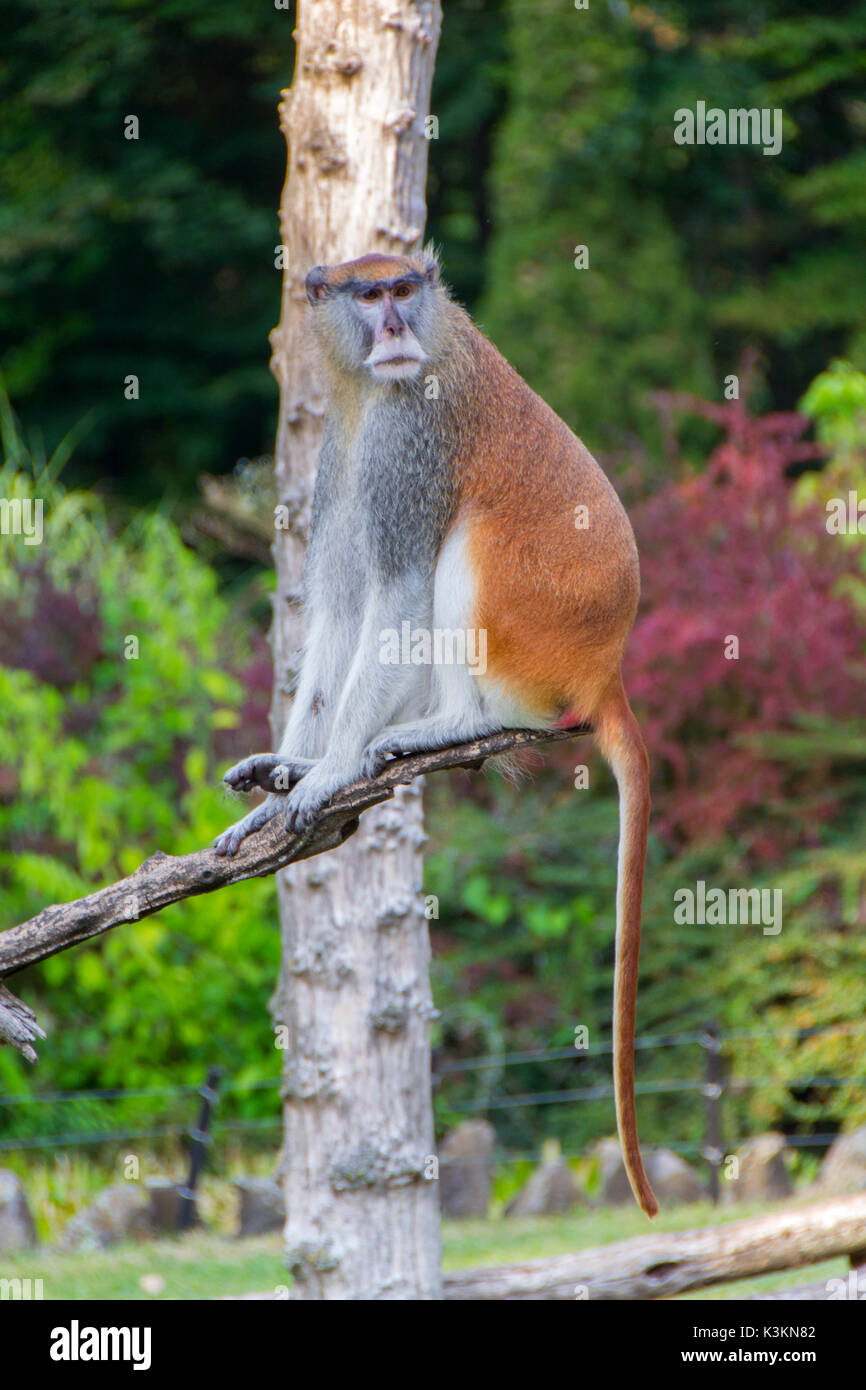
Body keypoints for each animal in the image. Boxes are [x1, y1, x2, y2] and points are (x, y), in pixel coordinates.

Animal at [213, 249, 657, 1219]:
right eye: (368, 293)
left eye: (403, 290)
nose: (392, 328)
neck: (374, 385)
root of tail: (607, 669)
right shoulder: (346, 450)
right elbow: (341, 607)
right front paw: (287, 769)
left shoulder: (409, 440)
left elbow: (400, 590)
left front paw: (325, 772)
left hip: (536, 628)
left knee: (468, 544)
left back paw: (457, 723)